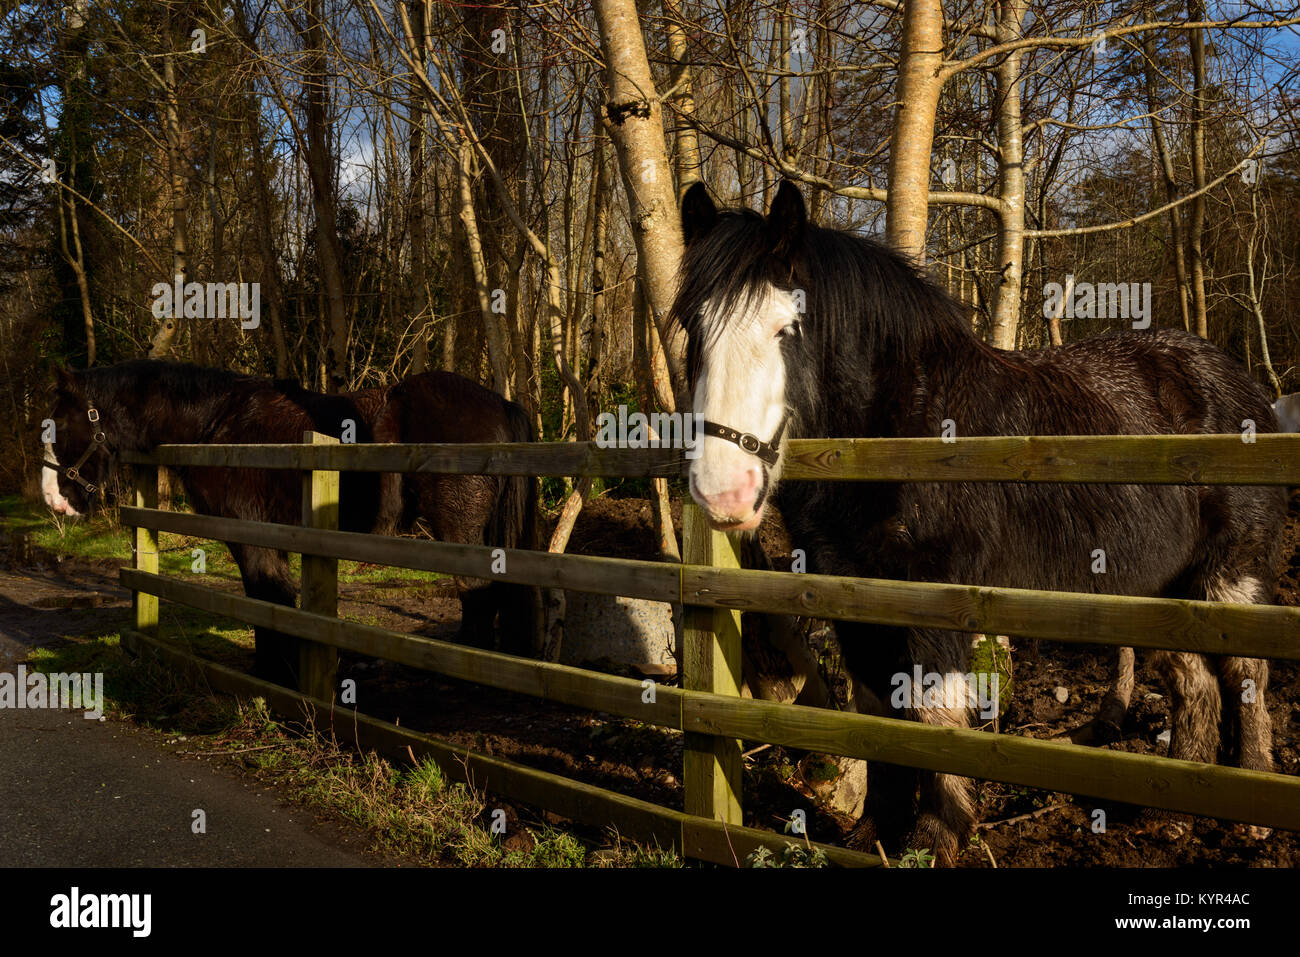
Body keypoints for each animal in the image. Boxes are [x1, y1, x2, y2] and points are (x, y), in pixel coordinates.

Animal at [41, 360, 537, 687]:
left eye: (59, 426)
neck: (216, 425)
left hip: (460, 534)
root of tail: (501, 404)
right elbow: (273, 600)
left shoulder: (250, 534)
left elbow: (265, 597)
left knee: (477, 598)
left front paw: (274, 675)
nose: (53, 500)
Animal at [672, 180, 1286, 865]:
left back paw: (1252, 814)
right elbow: (875, 710)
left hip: (1230, 577)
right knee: (1194, 683)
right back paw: (1176, 813)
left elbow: (936, 714)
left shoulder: (936, 601)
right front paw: (875, 833)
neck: (905, 428)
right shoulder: (853, 603)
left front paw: (938, 837)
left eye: (787, 327)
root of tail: (1240, 385)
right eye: (693, 328)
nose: (724, 489)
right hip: (1157, 589)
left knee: (1247, 676)